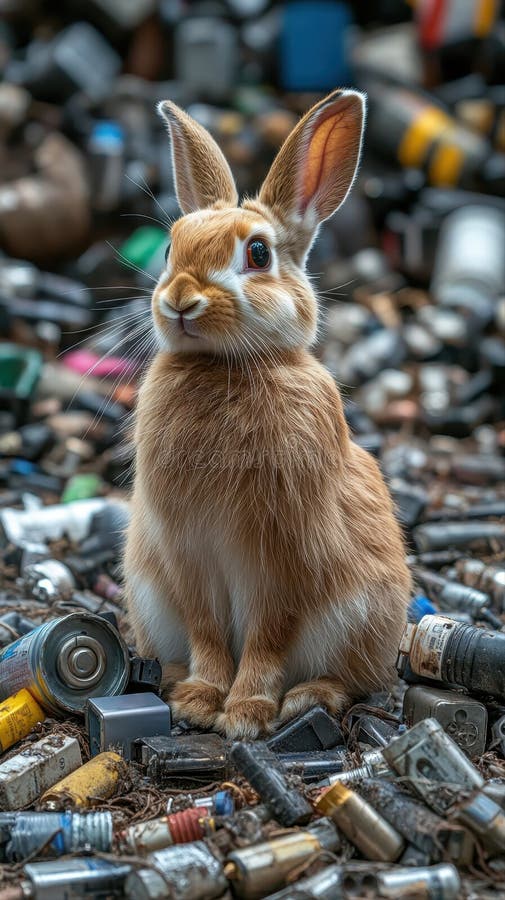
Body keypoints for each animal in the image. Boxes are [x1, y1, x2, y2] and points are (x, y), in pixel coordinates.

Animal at [124, 89, 411, 740]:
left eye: (257, 253)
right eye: (171, 247)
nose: (180, 299)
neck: (225, 366)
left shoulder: (281, 556)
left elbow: (266, 637)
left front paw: (248, 714)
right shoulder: (186, 552)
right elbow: (207, 628)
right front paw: (201, 701)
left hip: (363, 615)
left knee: (353, 679)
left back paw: (306, 700)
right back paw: (171, 680)